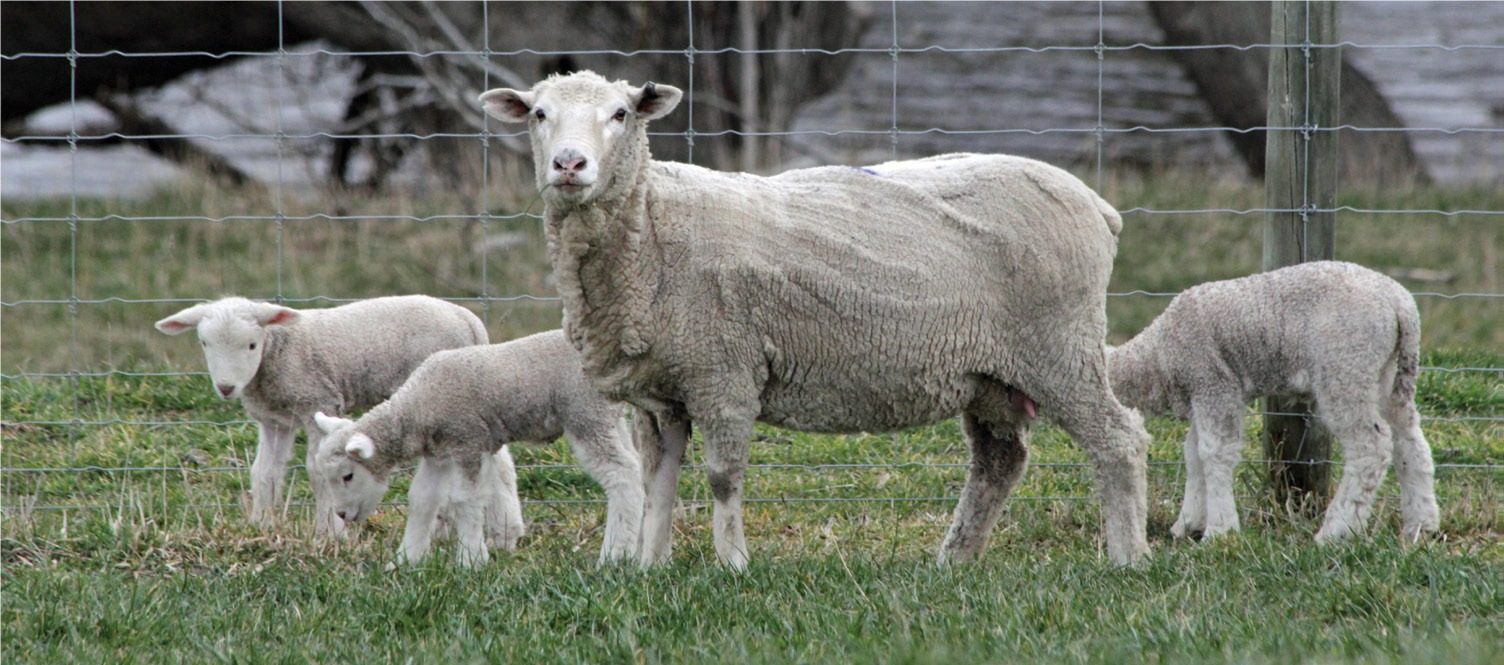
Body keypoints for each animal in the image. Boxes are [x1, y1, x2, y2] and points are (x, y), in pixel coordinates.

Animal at [154, 295, 509, 539]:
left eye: (252, 345)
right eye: (204, 343)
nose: (226, 387)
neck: (277, 351)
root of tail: (468, 320)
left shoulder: (317, 402)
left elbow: (316, 471)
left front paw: (329, 534)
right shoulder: (274, 420)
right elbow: (264, 472)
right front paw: (260, 525)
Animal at [309, 330, 645, 567]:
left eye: (348, 475)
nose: (342, 514)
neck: (419, 406)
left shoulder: (468, 441)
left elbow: (464, 500)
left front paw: (470, 560)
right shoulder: (439, 455)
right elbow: (422, 500)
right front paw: (405, 560)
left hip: (587, 414)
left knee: (622, 476)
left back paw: (614, 556)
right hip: (609, 418)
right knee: (634, 466)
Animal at [479, 71, 1151, 567]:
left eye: (621, 114)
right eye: (539, 114)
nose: (570, 165)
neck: (652, 225)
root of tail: (1097, 205)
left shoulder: (725, 372)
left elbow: (722, 477)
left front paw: (732, 566)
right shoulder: (663, 393)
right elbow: (657, 483)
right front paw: (650, 566)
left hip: (1058, 346)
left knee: (1119, 440)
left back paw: (1128, 559)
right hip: (993, 374)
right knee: (999, 462)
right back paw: (953, 561)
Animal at [1107, 261, 1441, 543]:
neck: (1159, 356)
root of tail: (1401, 303)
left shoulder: (1214, 384)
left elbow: (1214, 453)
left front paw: (1219, 531)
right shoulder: (1202, 394)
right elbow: (1193, 454)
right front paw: (1187, 523)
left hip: (1346, 366)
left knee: (1371, 447)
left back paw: (1335, 531)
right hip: (1386, 372)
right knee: (1409, 440)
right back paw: (1421, 524)